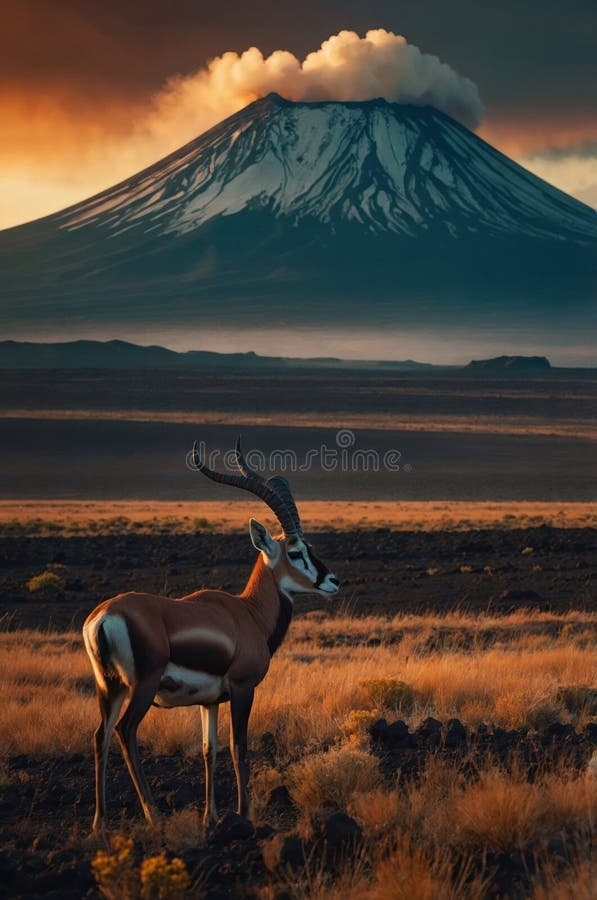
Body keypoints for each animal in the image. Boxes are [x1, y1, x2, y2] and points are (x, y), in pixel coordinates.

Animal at [83, 439, 339, 836]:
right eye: (296, 552)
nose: (332, 581)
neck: (248, 613)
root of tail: (105, 616)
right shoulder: (243, 688)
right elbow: (238, 747)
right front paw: (245, 814)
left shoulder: (210, 701)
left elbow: (209, 750)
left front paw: (212, 817)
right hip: (141, 688)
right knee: (126, 732)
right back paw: (154, 815)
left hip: (109, 688)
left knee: (101, 736)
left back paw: (100, 824)